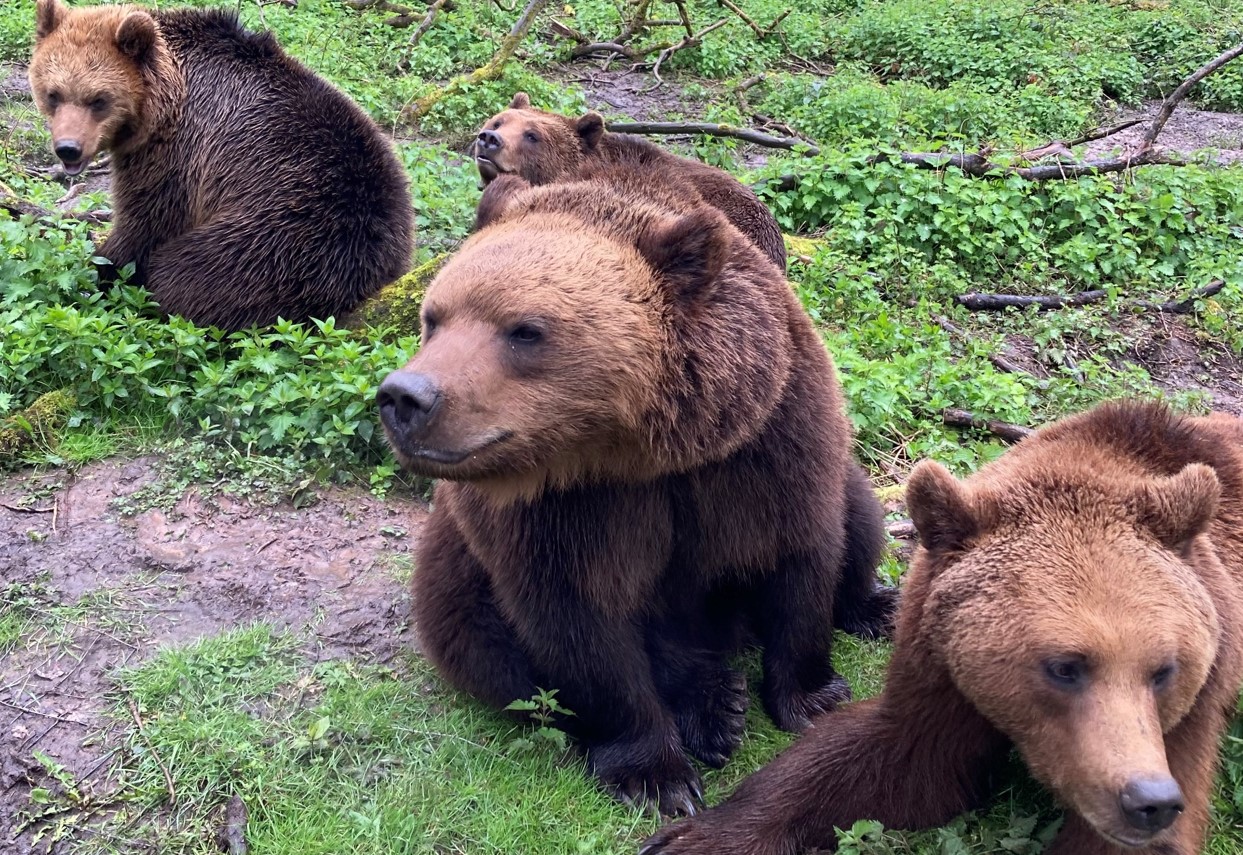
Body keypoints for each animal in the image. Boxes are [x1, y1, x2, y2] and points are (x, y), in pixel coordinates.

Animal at [28, 0, 414, 332]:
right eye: (53, 94)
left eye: (99, 100)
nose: (68, 150)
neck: (162, 103)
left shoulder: (178, 155)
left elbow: (147, 221)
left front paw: (102, 264)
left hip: (277, 240)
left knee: (192, 273)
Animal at [376, 170, 895, 815]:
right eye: (434, 317)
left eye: (524, 329)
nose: (406, 396)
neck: (645, 452)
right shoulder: (563, 512)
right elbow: (582, 622)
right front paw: (656, 777)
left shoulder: (765, 446)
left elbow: (801, 555)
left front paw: (812, 698)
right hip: (457, 575)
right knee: (484, 642)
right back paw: (714, 703)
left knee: (863, 521)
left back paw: (871, 610)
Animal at [641, 399, 1243, 855]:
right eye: (1065, 667)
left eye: (1164, 670)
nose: (1148, 800)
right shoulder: (939, 667)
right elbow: (896, 763)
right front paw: (690, 837)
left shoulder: (1192, 712)